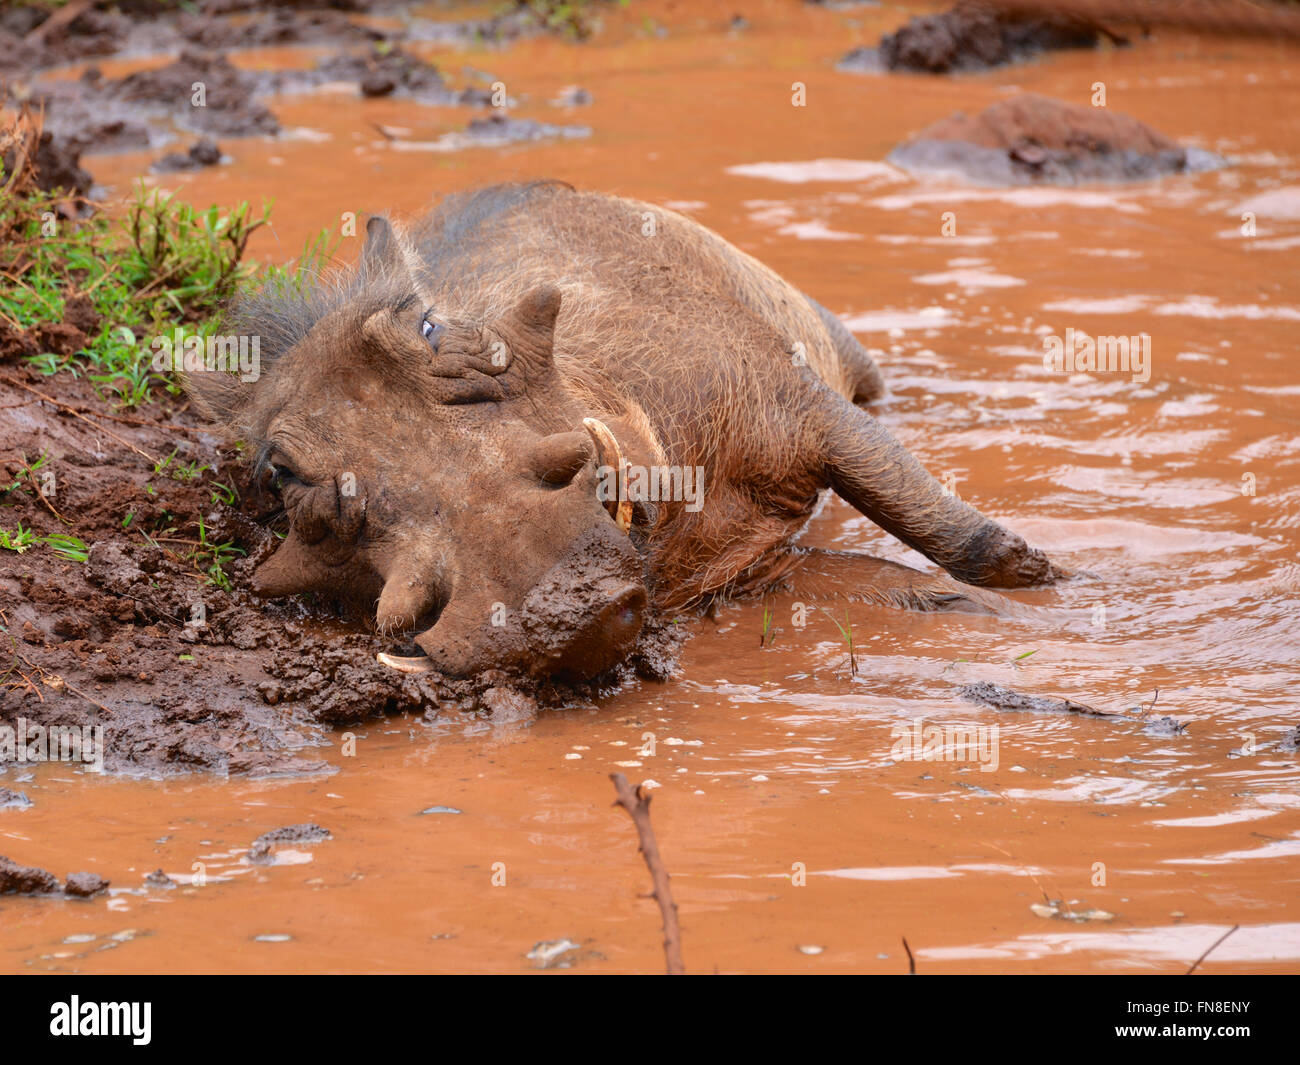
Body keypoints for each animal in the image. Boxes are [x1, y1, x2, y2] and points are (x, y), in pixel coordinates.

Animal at [187, 180, 1064, 681]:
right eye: (281, 477)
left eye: (430, 330)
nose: (558, 597)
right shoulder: (761, 562)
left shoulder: (802, 402)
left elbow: (943, 528)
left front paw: (1053, 581)